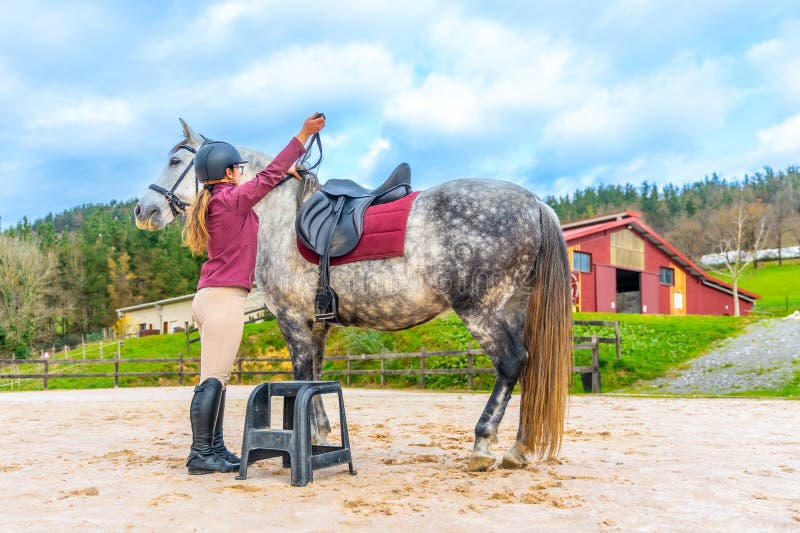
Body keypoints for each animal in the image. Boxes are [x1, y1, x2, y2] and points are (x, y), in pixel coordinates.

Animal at [134, 119, 573, 471]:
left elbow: (300, 379)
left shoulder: (292, 321)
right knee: (529, 366)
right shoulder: (317, 325)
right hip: (512, 308)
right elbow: (314, 378)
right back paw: (518, 448)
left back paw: (483, 445)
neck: (281, 216)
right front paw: (320, 435)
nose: (142, 210)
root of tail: (535, 203)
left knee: (511, 363)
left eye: (175, 160)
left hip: (479, 311)